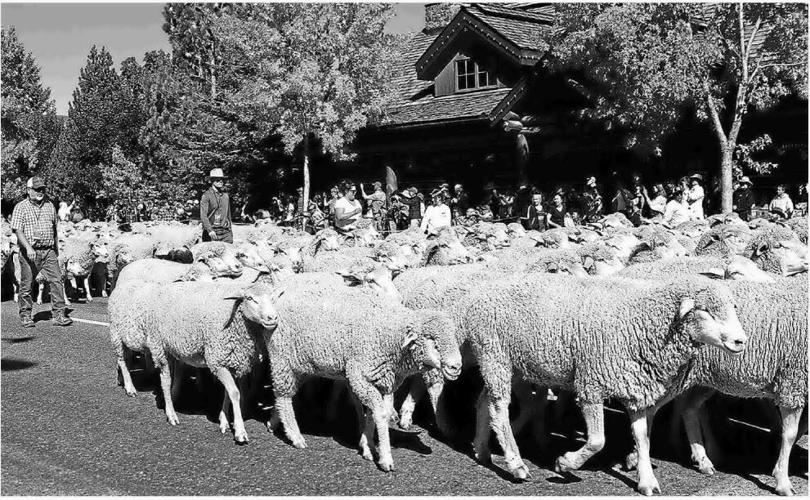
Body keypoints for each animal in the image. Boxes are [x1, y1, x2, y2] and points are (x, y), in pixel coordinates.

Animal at [265, 286, 462, 471]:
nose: (456, 367)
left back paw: (273, 422)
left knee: (282, 394)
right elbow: (380, 414)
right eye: (431, 340)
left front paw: (368, 446)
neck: (390, 335)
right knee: (284, 397)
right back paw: (294, 435)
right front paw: (384, 458)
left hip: (304, 365)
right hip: (282, 357)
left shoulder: (381, 382)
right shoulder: (361, 377)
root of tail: (281, 294)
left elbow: (372, 414)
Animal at [462, 274, 747, 495]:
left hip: (512, 364)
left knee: (484, 401)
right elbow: (598, 440)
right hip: (495, 354)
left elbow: (643, 438)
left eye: (733, 308)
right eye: (707, 311)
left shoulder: (636, 388)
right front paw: (565, 463)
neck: (643, 319)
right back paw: (516, 464)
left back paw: (481, 449)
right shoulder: (591, 384)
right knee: (500, 409)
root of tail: (481, 295)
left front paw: (646, 481)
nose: (741, 341)